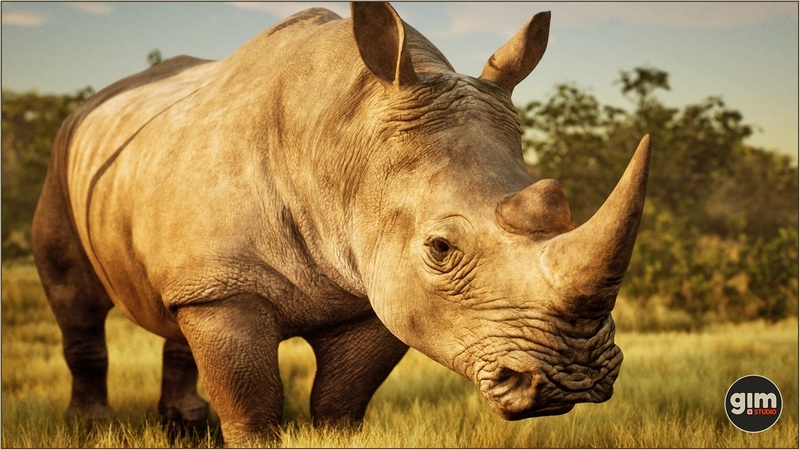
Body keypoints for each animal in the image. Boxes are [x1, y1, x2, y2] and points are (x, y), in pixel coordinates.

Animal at [32, 2, 650, 445]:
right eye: (440, 247)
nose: (576, 376)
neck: (343, 136)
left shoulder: (372, 290)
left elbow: (342, 400)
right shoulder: (226, 288)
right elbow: (252, 402)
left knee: (173, 307)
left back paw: (185, 424)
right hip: (64, 158)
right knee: (74, 294)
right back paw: (91, 428)